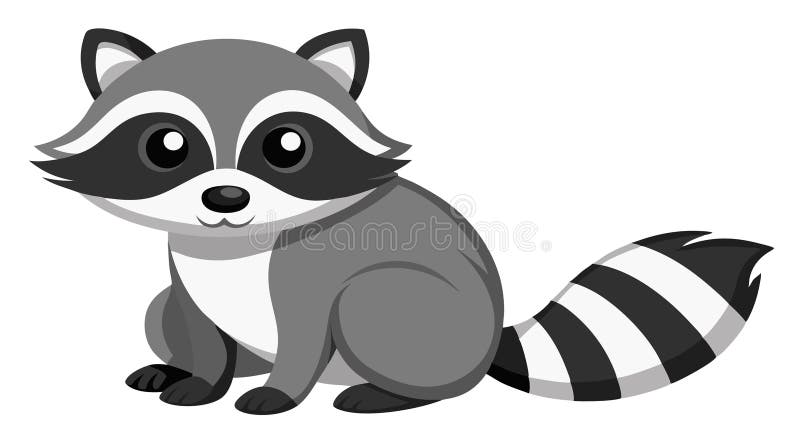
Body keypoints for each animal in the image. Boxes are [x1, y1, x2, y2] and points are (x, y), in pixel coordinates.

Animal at [35, 29, 772, 414]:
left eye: (286, 146)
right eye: (166, 147)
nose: (224, 200)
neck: (236, 248)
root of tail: (490, 339)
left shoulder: (312, 272)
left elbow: (306, 332)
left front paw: (279, 394)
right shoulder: (186, 266)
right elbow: (194, 321)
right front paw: (202, 379)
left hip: (422, 321)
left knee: (378, 305)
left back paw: (391, 396)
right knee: (164, 310)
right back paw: (191, 367)